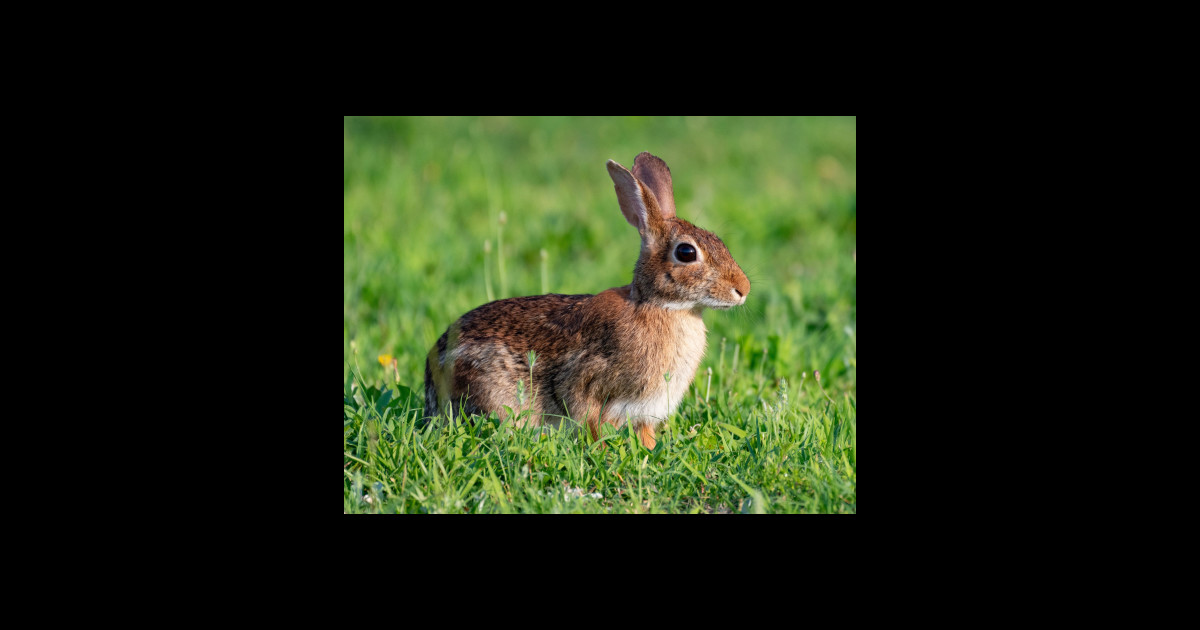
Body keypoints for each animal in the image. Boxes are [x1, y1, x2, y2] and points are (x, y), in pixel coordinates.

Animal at [424, 152, 750, 449]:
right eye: (686, 252)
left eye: (717, 240)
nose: (743, 289)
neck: (659, 306)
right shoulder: (588, 385)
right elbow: (592, 423)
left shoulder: (645, 411)